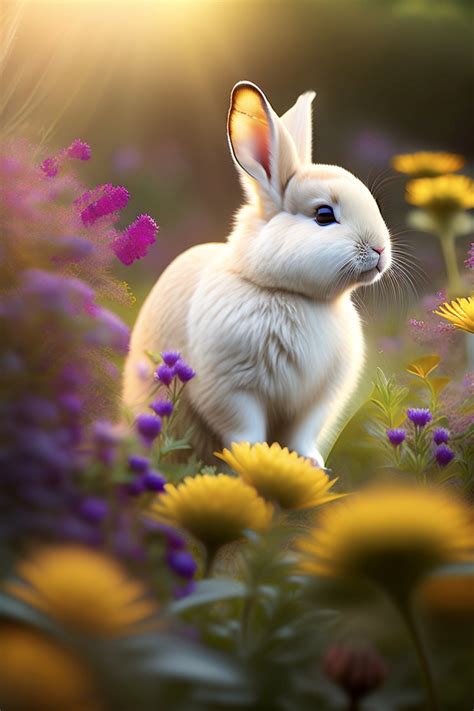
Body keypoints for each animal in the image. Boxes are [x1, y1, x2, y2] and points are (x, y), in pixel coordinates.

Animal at [123, 81, 391, 466]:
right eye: (324, 215)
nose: (380, 250)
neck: (291, 294)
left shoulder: (316, 400)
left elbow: (302, 435)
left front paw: (311, 463)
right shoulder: (232, 388)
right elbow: (243, 427)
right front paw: (253, 455)